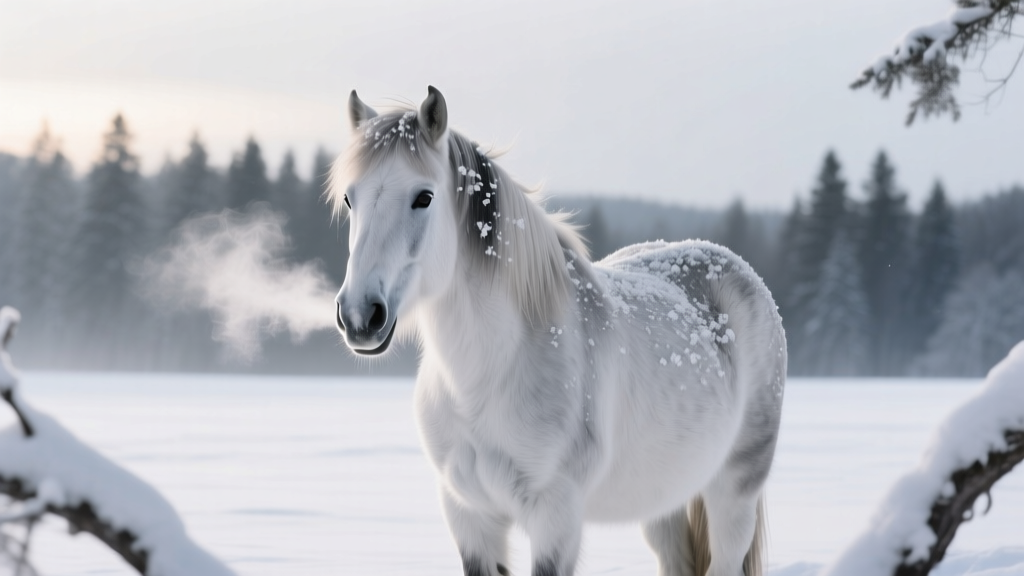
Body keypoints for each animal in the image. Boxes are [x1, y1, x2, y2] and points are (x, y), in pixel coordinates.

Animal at [331, 87, 786, 576]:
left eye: (424, 197)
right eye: (349, 199)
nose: (360, 315)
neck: (488, 375)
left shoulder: (555, 516)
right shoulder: (469, 514)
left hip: (733, 492)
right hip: (662, 499)